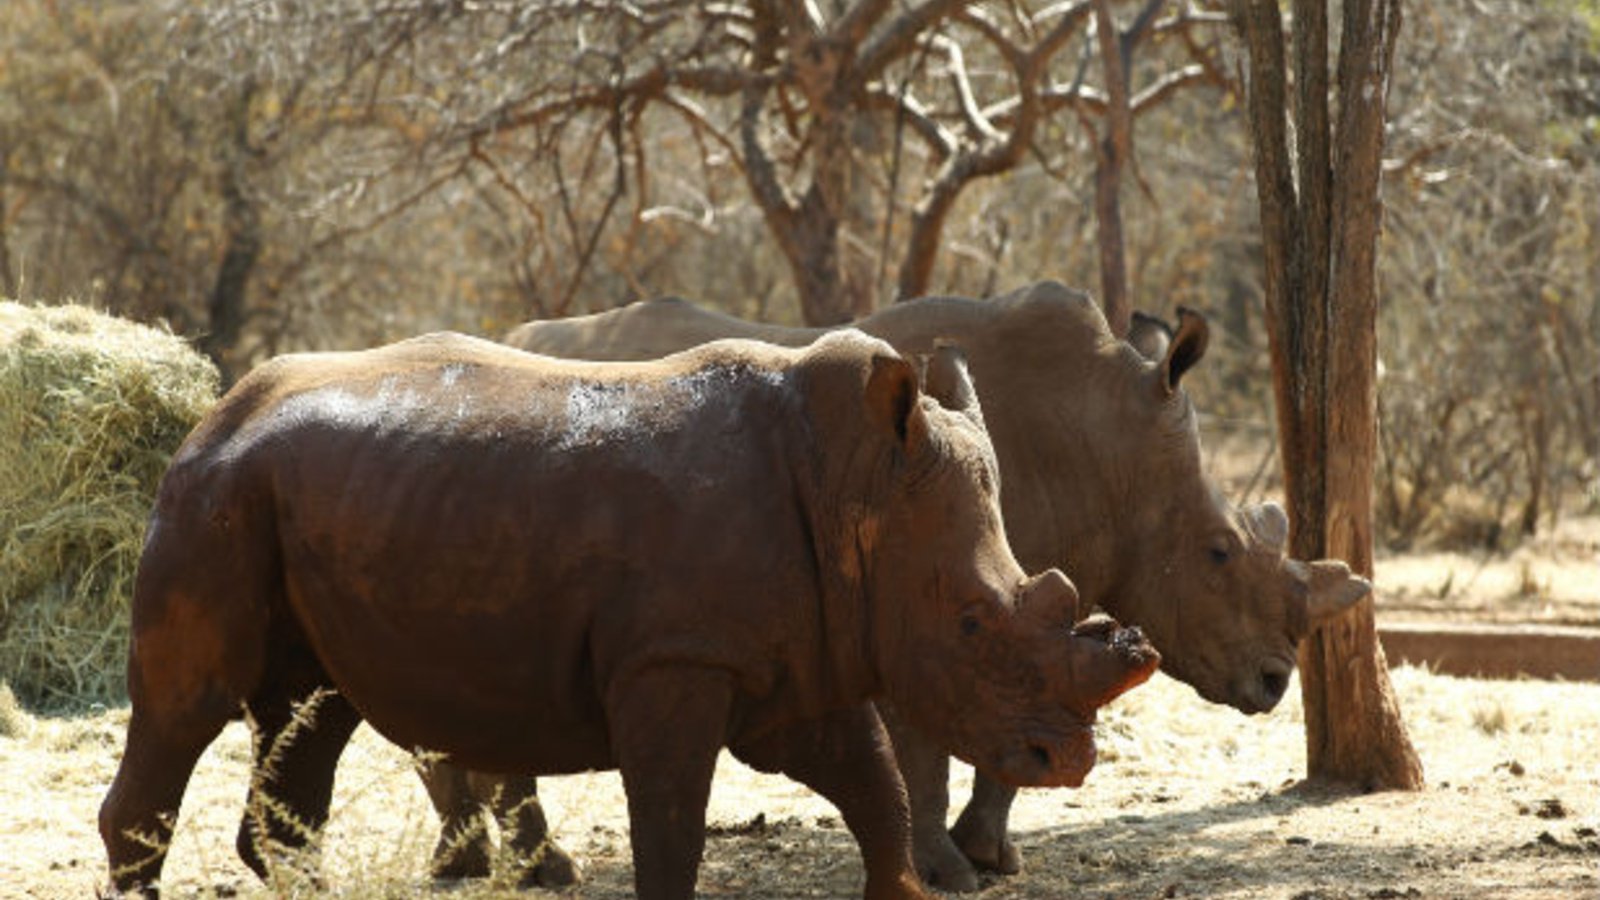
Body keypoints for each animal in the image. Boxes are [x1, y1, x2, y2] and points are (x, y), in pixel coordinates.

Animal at [99, 329, 1161, 900]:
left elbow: (876, 790)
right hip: (213, 500)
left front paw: (897, 886)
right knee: (188, 707)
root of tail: (210, 415)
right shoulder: (676, 661)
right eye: (974, 626)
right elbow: (672, 824)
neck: (858, 488)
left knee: (310, 711)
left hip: (302, 500)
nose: (1067, 759)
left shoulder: (803, 652)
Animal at [429, 281, 1370, 891]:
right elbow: (923, 750)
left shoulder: (1004, 605)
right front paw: (949, 869)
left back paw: (483, 863)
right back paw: (528, 868)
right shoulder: (915, 597)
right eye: (1219, 553)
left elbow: (1010, 731)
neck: (1107, 449)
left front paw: (989, 859)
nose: (1273, 682)